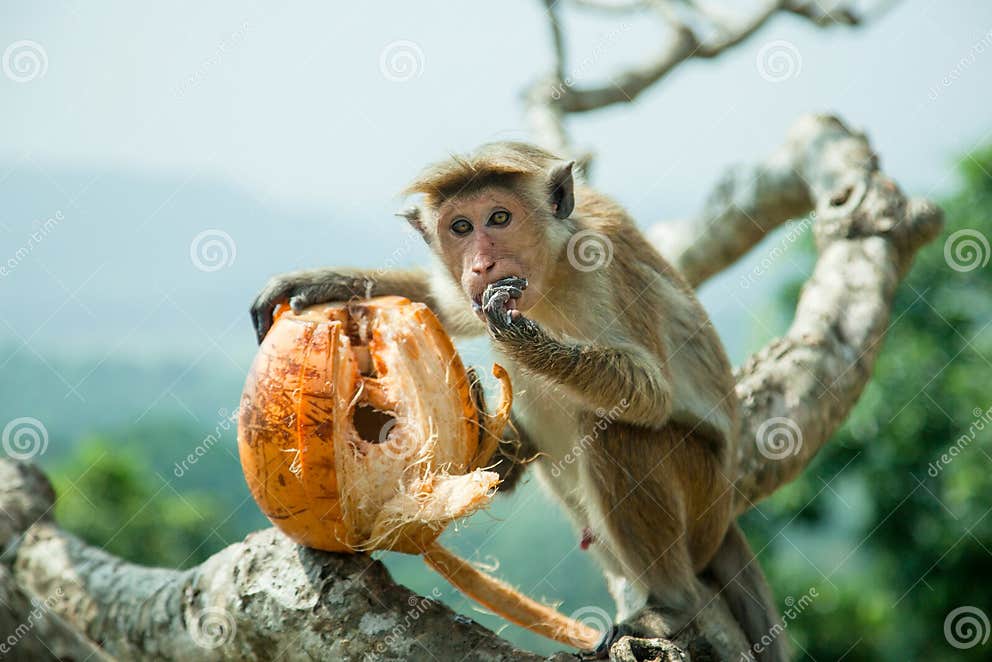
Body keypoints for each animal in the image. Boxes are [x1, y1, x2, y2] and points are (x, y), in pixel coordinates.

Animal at [250, 142, 787, 661]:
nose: (482, 264)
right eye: (461, 227)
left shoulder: (603, 266)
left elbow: (653, 395)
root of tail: (725, 516)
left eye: (499, 218)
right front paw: (321, 281)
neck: (552, 274)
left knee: (620, 435)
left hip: (702, 498)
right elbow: (443, 305)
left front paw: (524, 340)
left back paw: (671, 603)